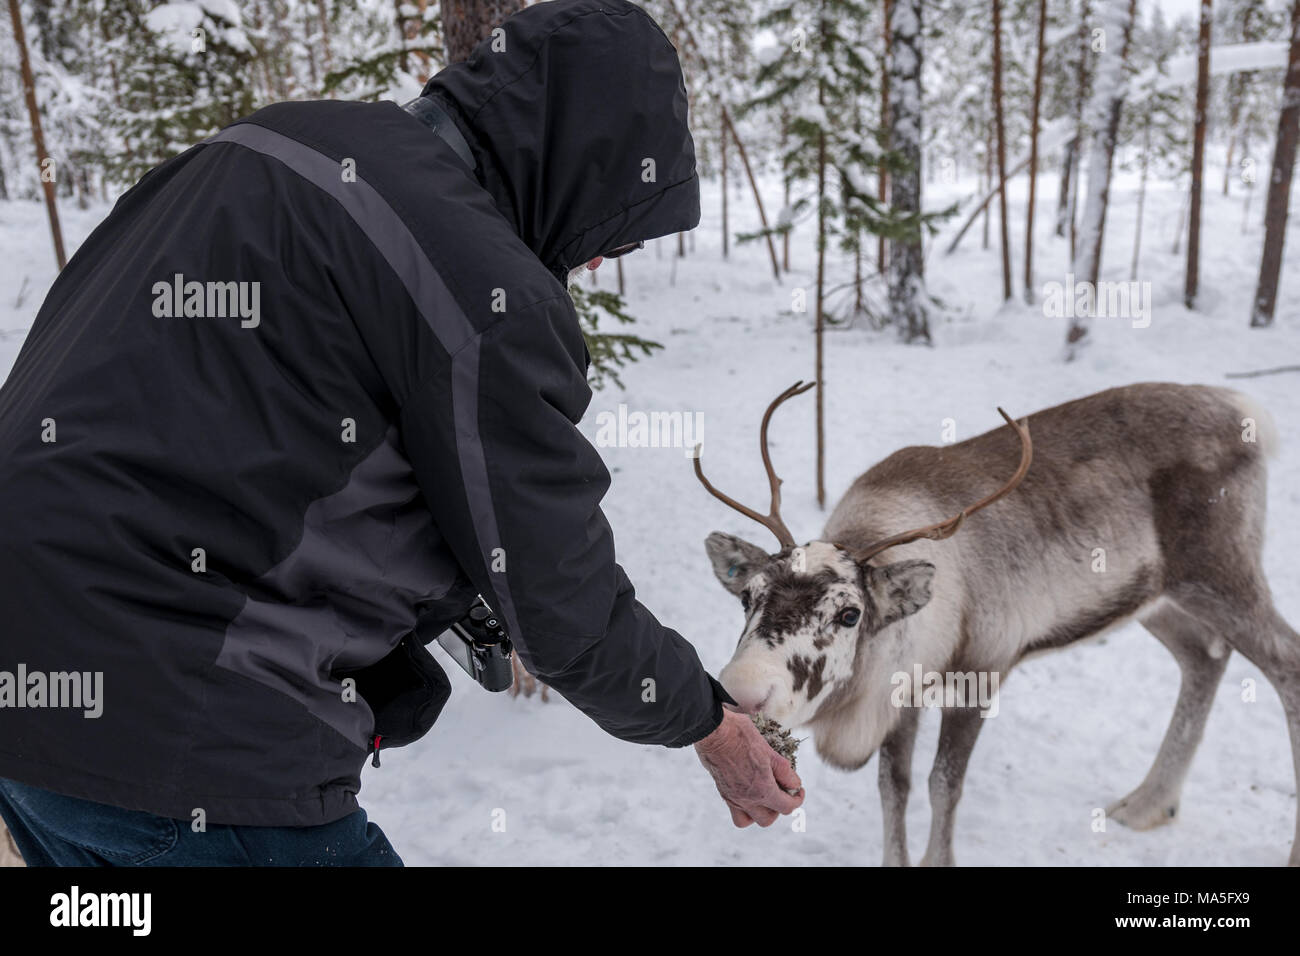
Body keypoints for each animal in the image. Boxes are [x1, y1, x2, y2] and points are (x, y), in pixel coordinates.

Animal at [696, 381, 1299, 866]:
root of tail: (1246, 411)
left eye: (850, 613)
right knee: (1204, 656)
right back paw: (1148, 804)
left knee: (1285, 663)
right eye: (748, 595)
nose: (743, 689)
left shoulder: (983, 671)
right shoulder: (903, 697)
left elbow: (943, 785)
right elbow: (895, 786)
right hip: (1159, 598)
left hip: (1219, 571)